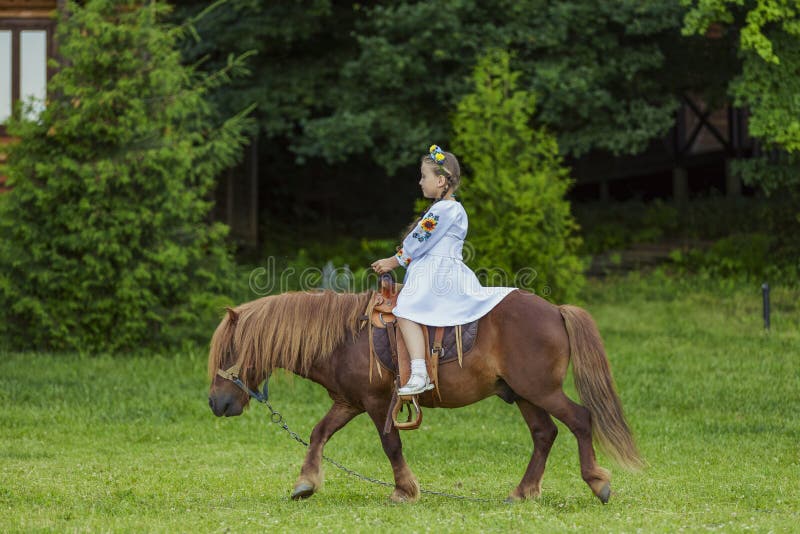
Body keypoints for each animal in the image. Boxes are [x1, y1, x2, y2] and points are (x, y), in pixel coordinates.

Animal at [207, 287, 642, 503]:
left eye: (228, 352)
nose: (215, 403)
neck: (345, 336)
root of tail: (554, 310)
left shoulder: (377, 403)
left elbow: (391, 444)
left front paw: (404, 490)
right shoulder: (348, 402)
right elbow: (318, 434)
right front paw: (305, 483)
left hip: (541, 390)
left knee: (580, 420)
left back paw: (597, 482)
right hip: (524, 394)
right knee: (544, 434)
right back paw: (523, 492)